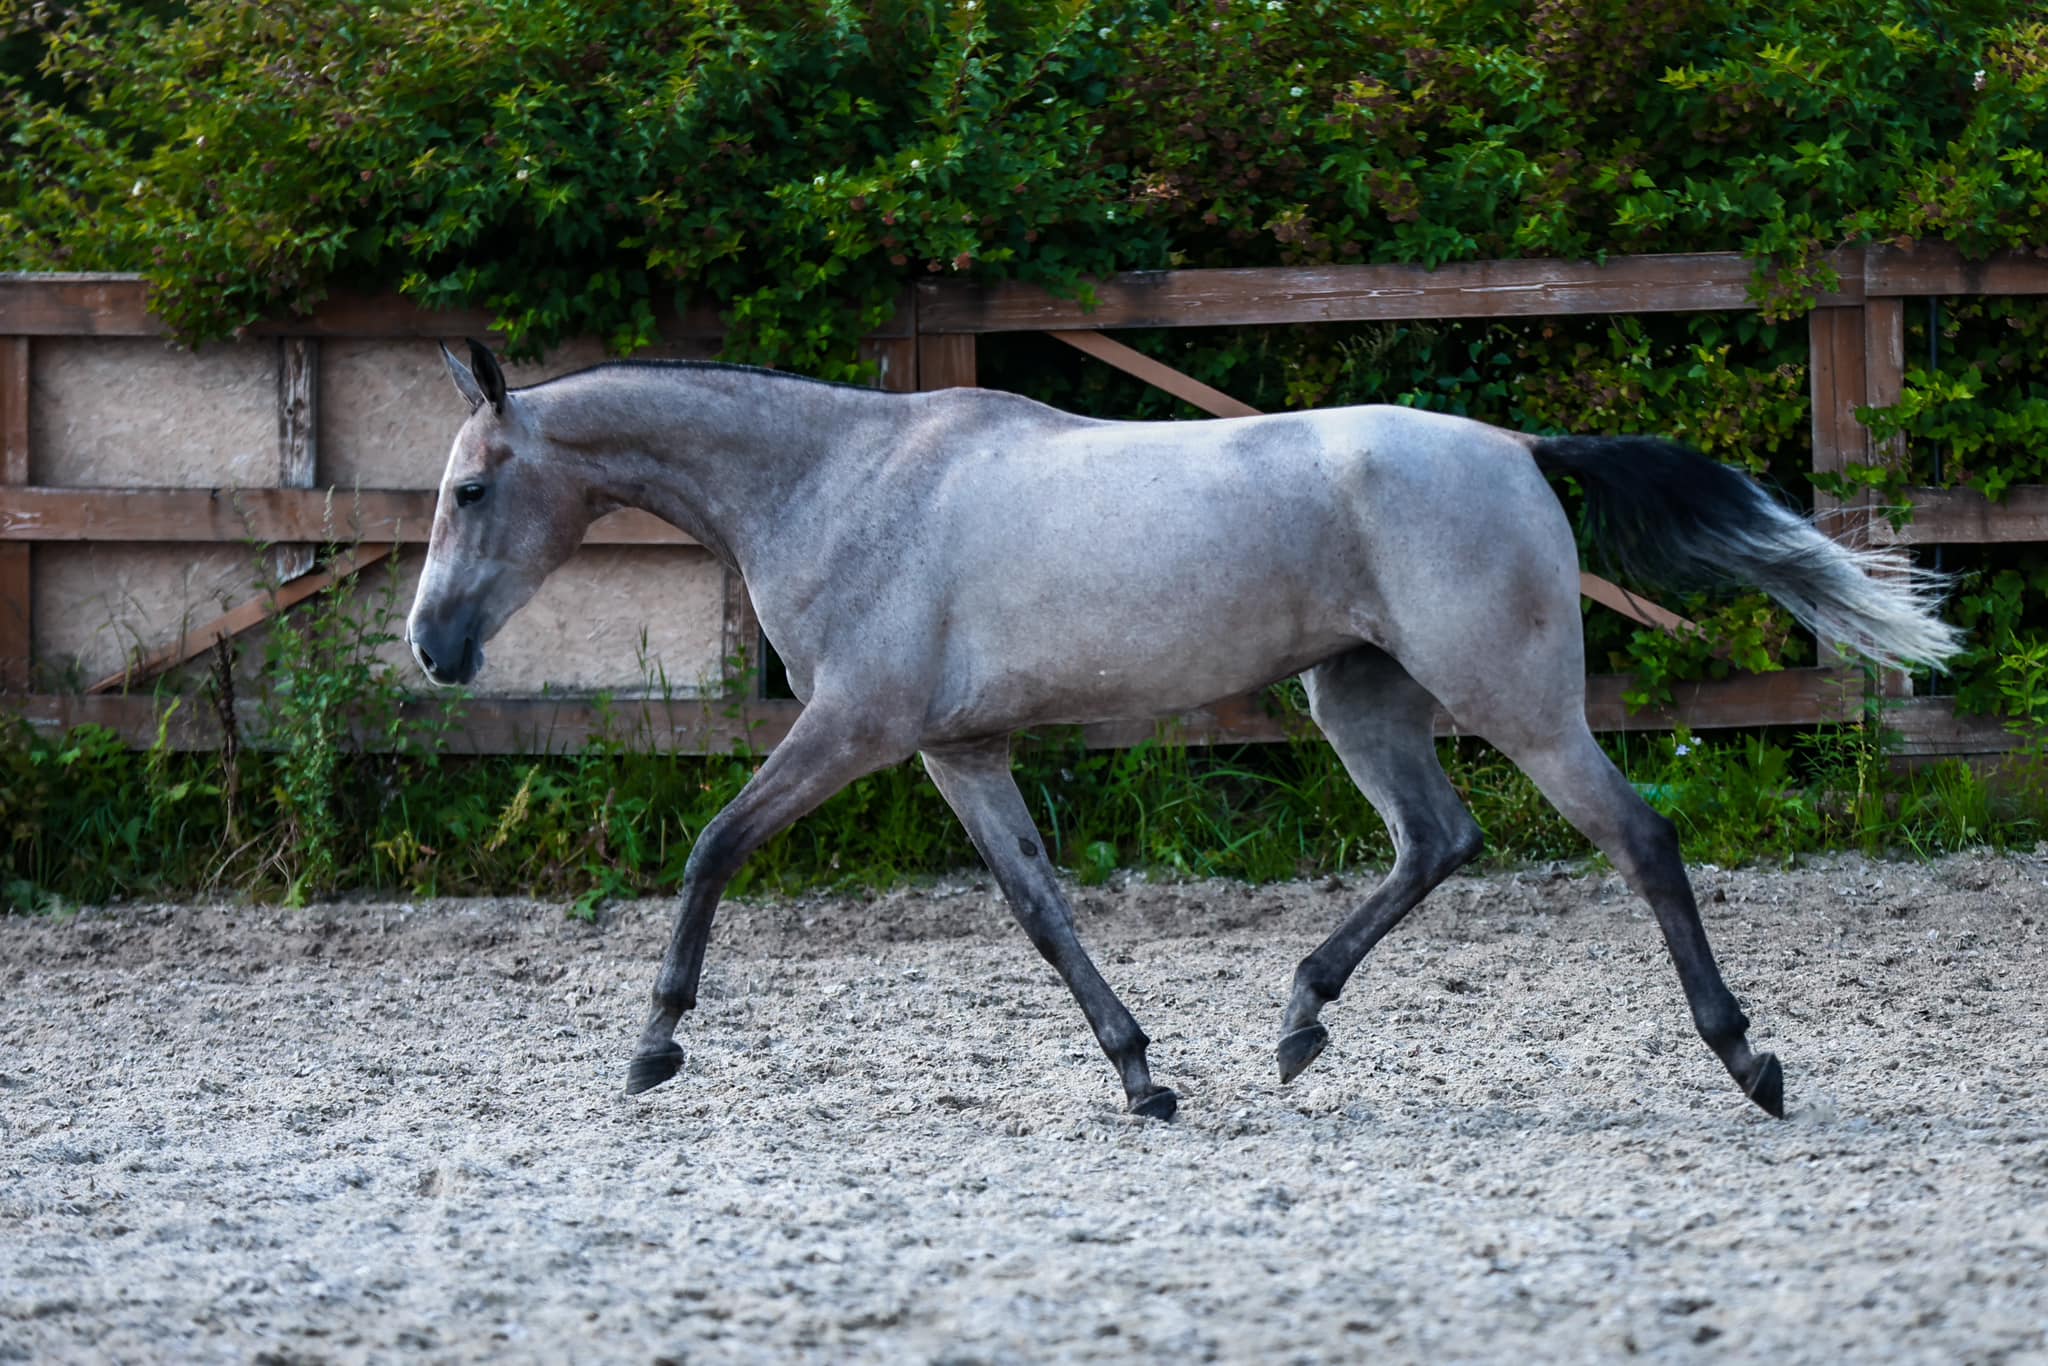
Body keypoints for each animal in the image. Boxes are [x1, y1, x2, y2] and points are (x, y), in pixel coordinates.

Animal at [408, 340, 1958, 1122]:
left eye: (473, 489)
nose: (431, 649)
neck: (841, 483)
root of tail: (1516, 448)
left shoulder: (854, 727)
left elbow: (712, 848)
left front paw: (652, 1047)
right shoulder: (958, 753)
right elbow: (1041, 913)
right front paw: (1143, 1074)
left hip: (1513, 702)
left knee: (1637, 837)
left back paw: (1749, 1062)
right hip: (1360, 697)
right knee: (1438, 839)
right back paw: (1296, 1024)